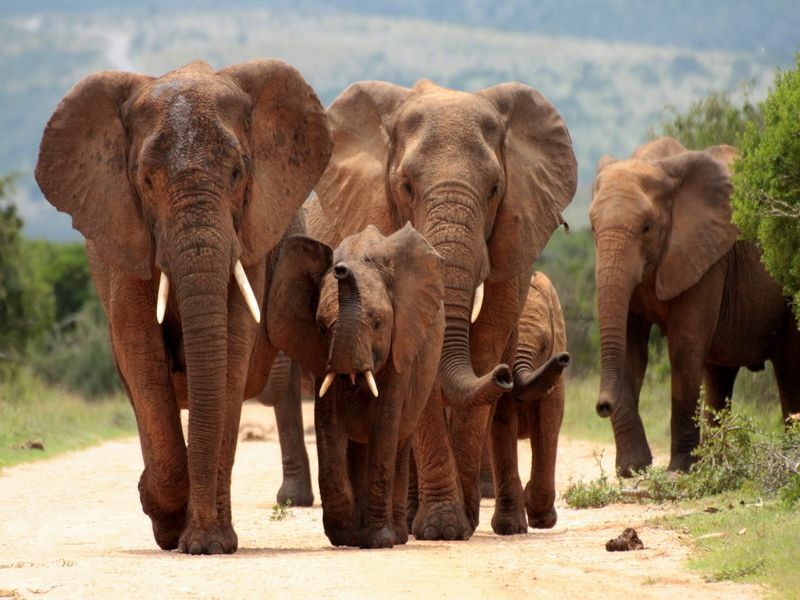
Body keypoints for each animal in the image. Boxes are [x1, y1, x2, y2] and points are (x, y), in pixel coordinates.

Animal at [34, 59, 332, 552]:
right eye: (146, 181)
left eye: (237, 174)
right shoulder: (124, 237)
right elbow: (141, 354)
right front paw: (162, 513)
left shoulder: (250, 236)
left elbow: (230, 349)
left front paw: (206, 544)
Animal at [268, 223, 444, 548]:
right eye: (321, 328)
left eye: (377, 324)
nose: (340, 269)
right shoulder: (321, 357)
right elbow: (328, 424)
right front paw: (344, 536)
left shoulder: (400, 347)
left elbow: (385, 425)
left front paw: (378, 540)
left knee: (400, 441)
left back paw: (397, 536)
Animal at [310, 77, 576, 536]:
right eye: (407, 187)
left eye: (494, 190)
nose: (505, 375)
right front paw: (443, 528)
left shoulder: (512, 240)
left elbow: (485, 340)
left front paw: (461, 523)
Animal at [588, 135, 800, 474]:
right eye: (592, 228)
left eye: (647, 227)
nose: (602, 406)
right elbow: (631, 350)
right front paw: (633, 468)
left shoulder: (705, 257)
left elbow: (685, 346)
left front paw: (679, 470)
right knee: (719, 377)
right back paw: (715, 464)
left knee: (790, 369)